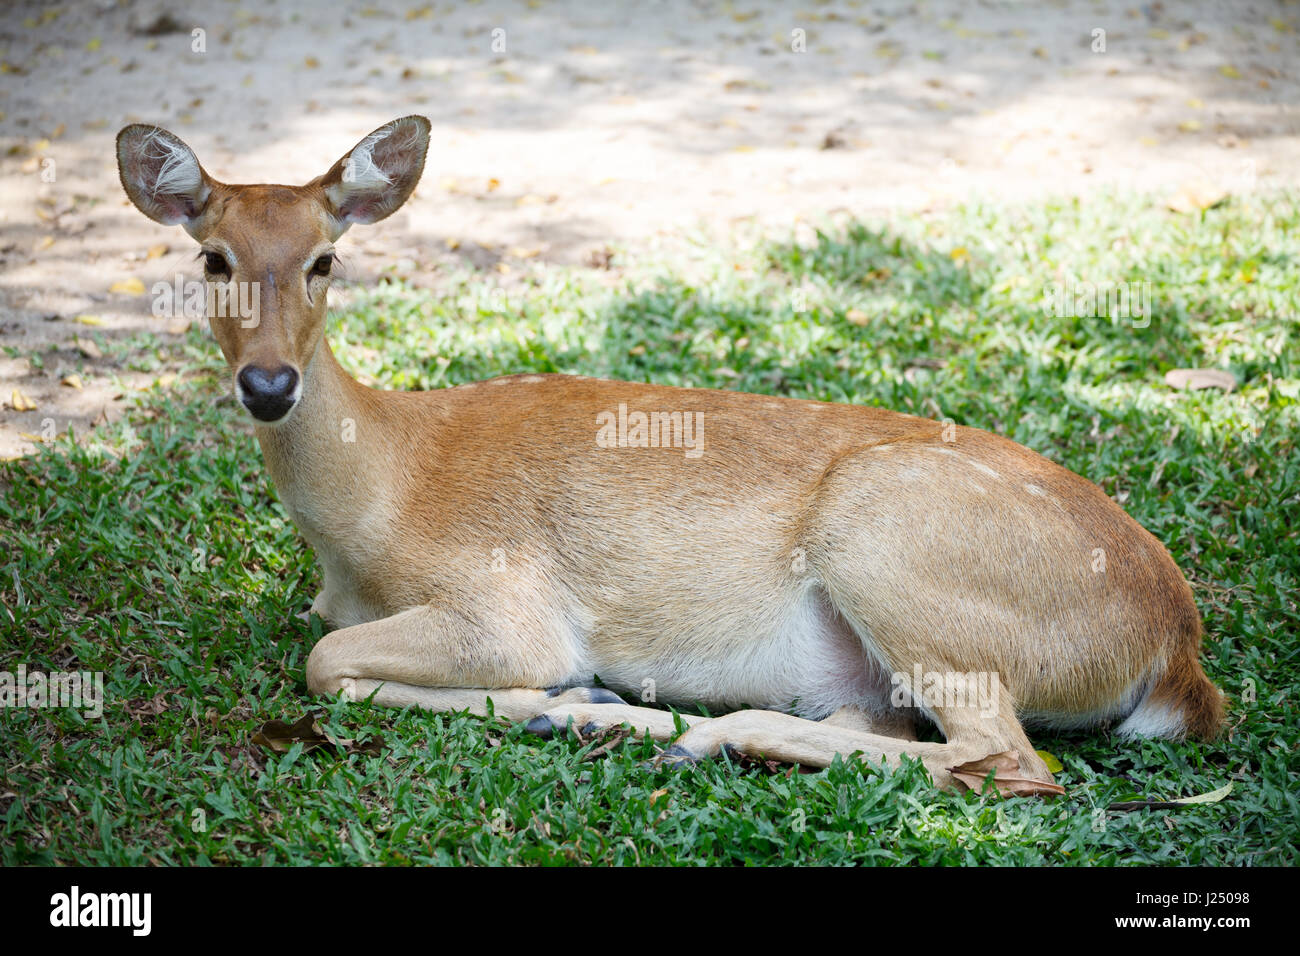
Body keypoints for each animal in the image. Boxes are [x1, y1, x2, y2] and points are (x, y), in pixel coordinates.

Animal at [115, 116, 1224, 795]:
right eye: (211, 257)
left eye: (325, 259)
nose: (268, 383)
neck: (375, 505)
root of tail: (1174, 649)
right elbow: (325, 650)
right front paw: (575, 712)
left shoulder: (503, 603)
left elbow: (324, 662)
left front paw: (575, 705)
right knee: (909, 733)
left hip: (894, 539)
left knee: (1009, 761)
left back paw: (697, 730)